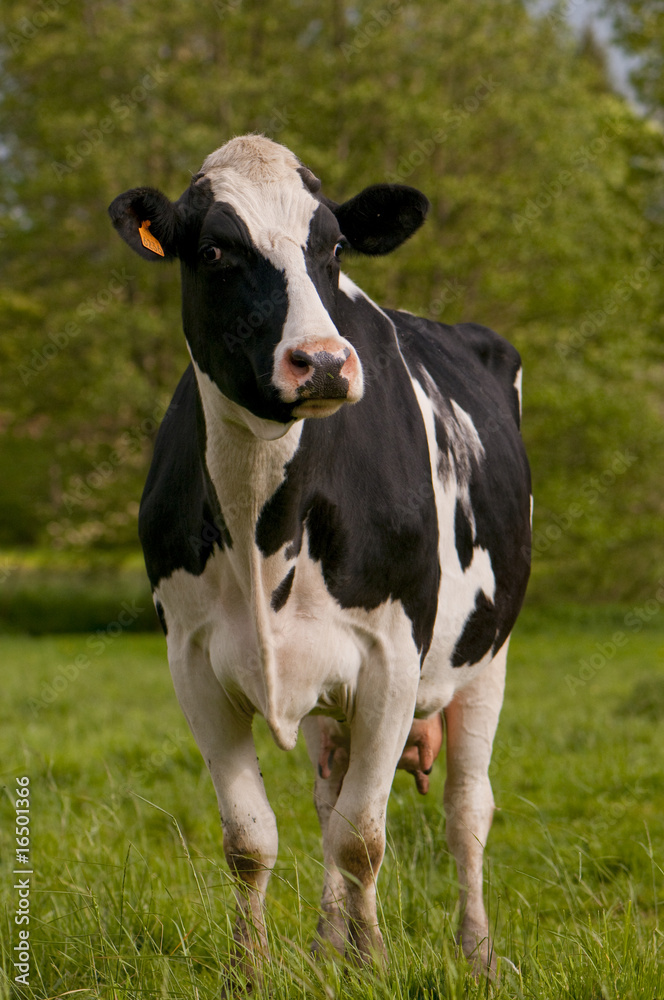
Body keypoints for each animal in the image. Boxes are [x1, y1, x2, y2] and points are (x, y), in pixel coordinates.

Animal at [109, 134, 531, 983]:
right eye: (214, 249)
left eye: (331, 246)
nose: (324, 362)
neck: (262, 531)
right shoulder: (193, 664)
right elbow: (253, 838)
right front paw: (254, 967)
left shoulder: (392, 658)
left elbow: (363, 837)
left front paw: (372, 964)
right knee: (329, 795)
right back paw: (324, 941)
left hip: (487, 657)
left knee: (466, 812)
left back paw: (474, 953)